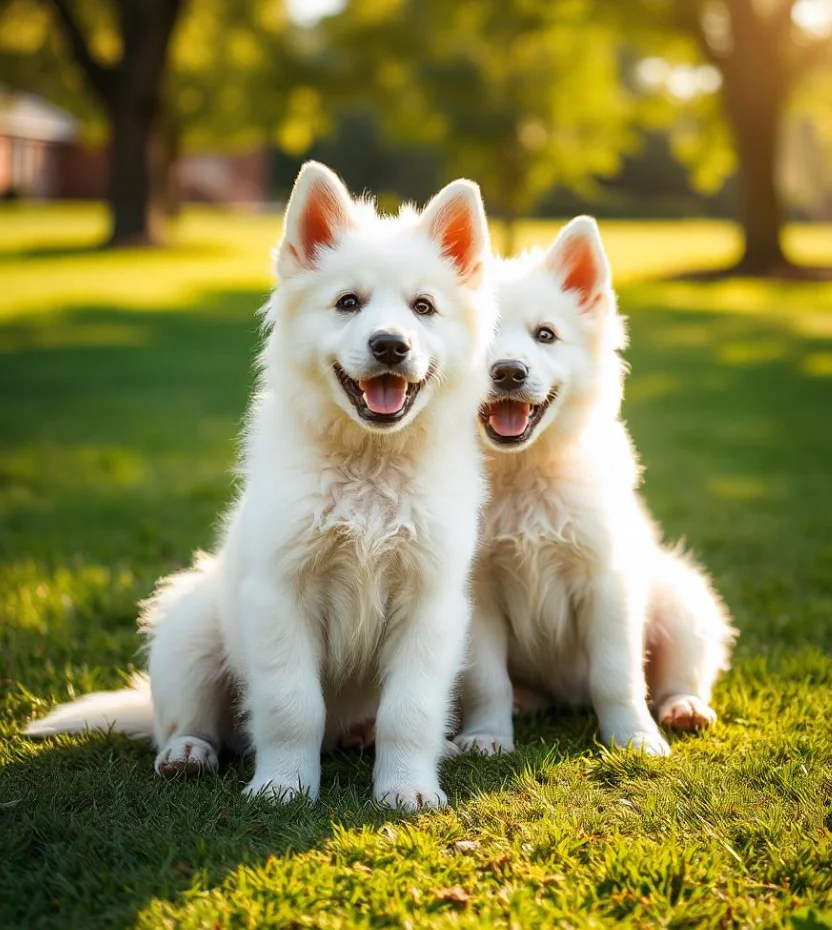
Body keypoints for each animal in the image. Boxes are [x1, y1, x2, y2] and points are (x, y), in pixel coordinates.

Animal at [26, 160, 498, 804]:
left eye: (423, 307)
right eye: (348, 303)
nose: (390, 346)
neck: (368, 467)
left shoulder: (429, 604)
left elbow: (411, 709)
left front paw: (406, 788)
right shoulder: (281, 597)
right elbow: (291, 705)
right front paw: (283, 786)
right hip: (190, 632)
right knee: (188, 722)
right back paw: (187, 753)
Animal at [456, 221, 736, 756]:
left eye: (546, 335)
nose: (508, 373)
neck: (523, 473)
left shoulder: (608, 584)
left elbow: (616, 675)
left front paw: (634, 738)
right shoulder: (475, 593)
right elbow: (487, 679)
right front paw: (487, 735)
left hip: (682, 598)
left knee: (681, 674)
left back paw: (684, 708)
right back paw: (524, 702)